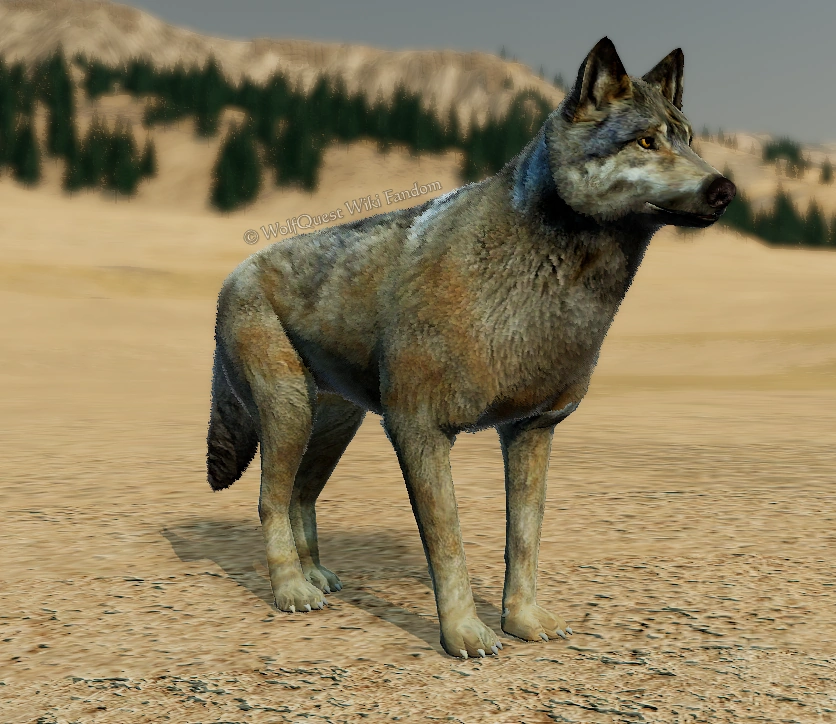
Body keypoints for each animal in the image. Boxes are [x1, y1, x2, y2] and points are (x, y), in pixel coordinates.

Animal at [206, 37, 735, 659]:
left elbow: (524, 541)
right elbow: (449, 546)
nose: (724, 189)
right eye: (647, 141)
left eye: (689, 138)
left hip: (335, 425)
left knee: (299, 498)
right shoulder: (419, 430)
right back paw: (291, 590)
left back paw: (315, 576)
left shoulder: (533, 431)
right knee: (270, 499)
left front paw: (524, 621)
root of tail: (234, 271)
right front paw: (463, 634)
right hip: (289, 415)